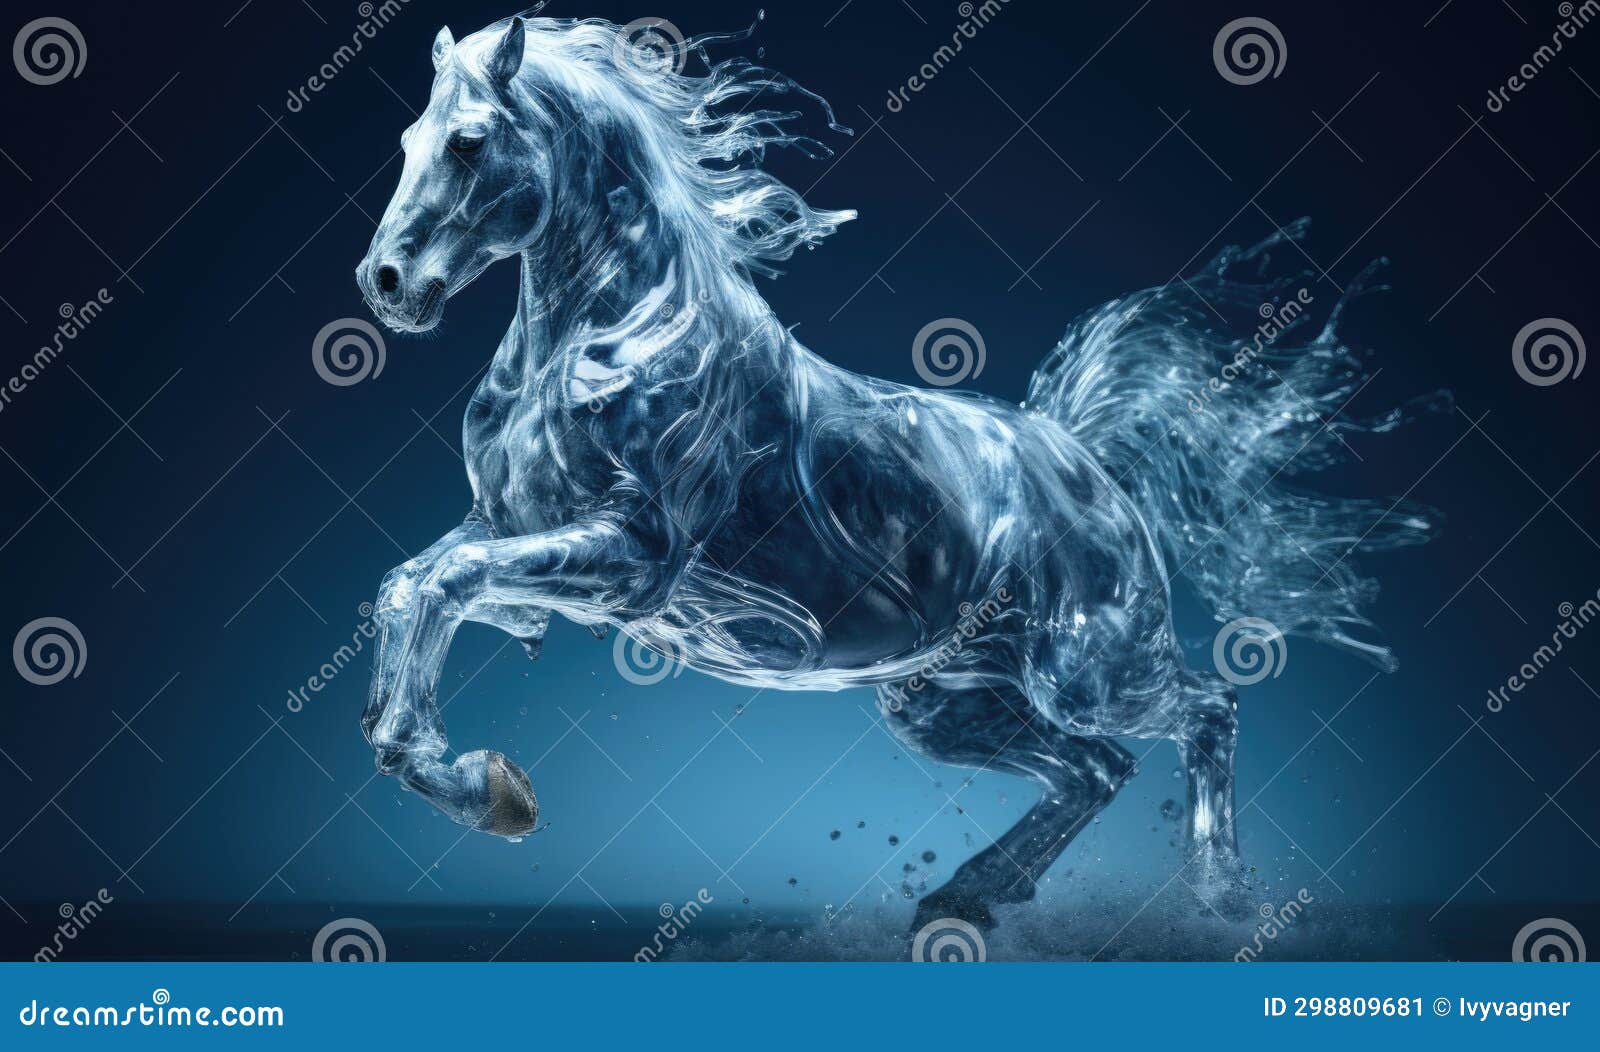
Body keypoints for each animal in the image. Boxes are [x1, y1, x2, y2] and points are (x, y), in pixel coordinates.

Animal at [355, 12, 1441, 931]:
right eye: (404, 140)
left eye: (469, 141)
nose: (386, 284)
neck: (611, 336)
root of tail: (1080, 450)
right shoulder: (510, 531)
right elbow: (414, 583)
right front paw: (482, 782)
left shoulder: (637, 557)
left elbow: (443, 580)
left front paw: (484, 784)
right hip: (945, 699)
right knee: (1093, 770)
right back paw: (967, 897)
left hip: (1091, 667)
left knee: (1203, 711)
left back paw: (1219, 898)